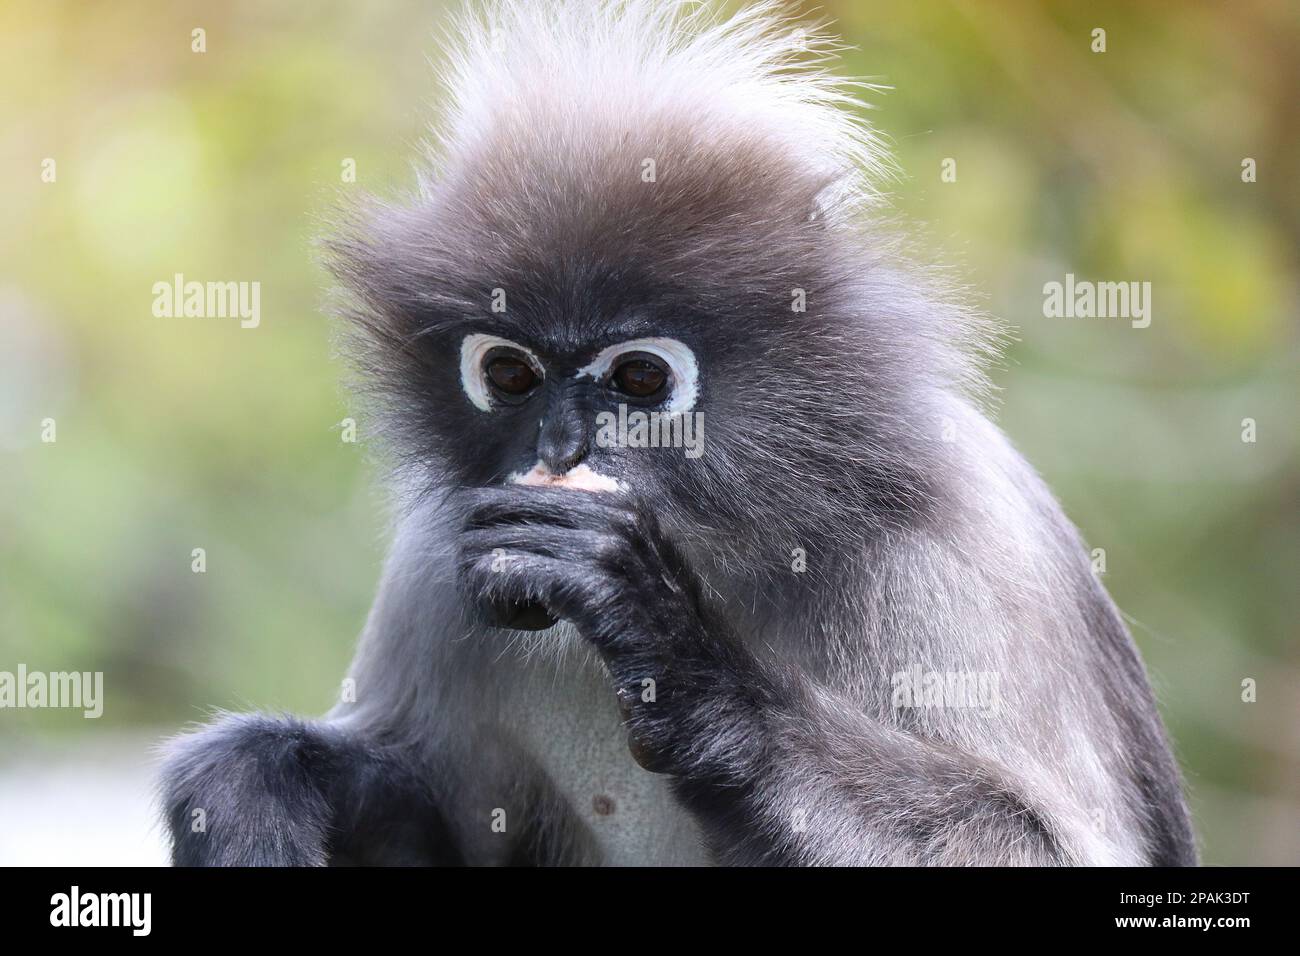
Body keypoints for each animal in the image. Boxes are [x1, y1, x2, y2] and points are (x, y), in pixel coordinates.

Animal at [159, 0, 1197, 866]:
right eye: (508, 374)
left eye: (640, 378)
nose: (560, 449)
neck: (733, 550)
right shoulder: (436, 558)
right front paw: (251, 783)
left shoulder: (955, 550)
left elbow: (1039, 840)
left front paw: (670, 650)